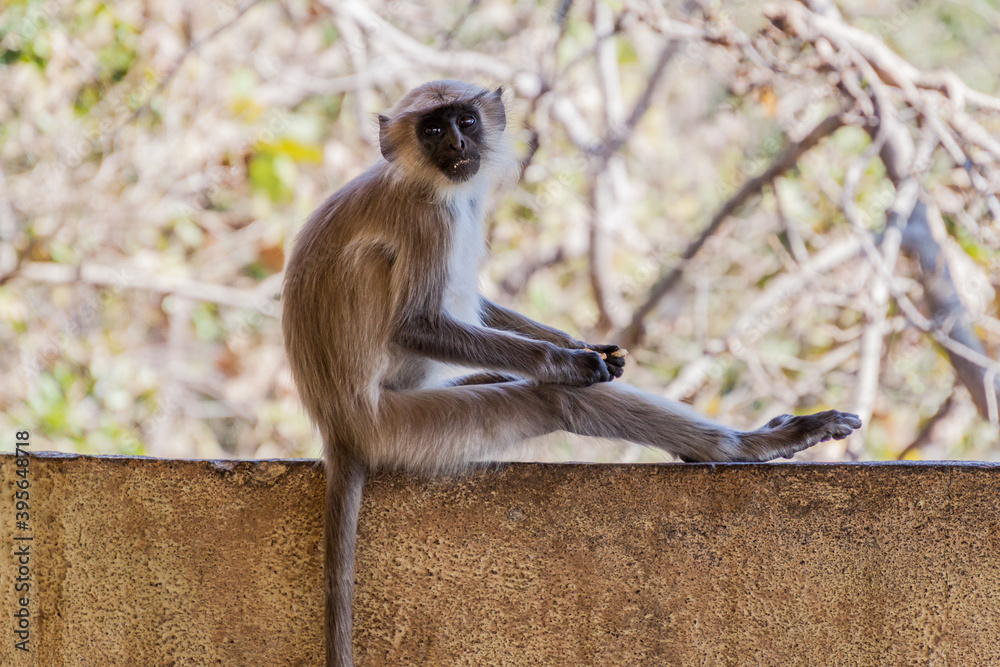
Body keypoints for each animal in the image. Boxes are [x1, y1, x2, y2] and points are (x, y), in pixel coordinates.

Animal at [281, 80, 862, 667]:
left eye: (465, 122)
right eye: (432, 128)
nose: (455, 145)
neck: (424, 180)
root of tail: (339, 428)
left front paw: (582, 344)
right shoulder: (429, 219)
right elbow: (416, 326)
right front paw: (568, 362)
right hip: (402, 427)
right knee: (557, 401)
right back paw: (741, 446)